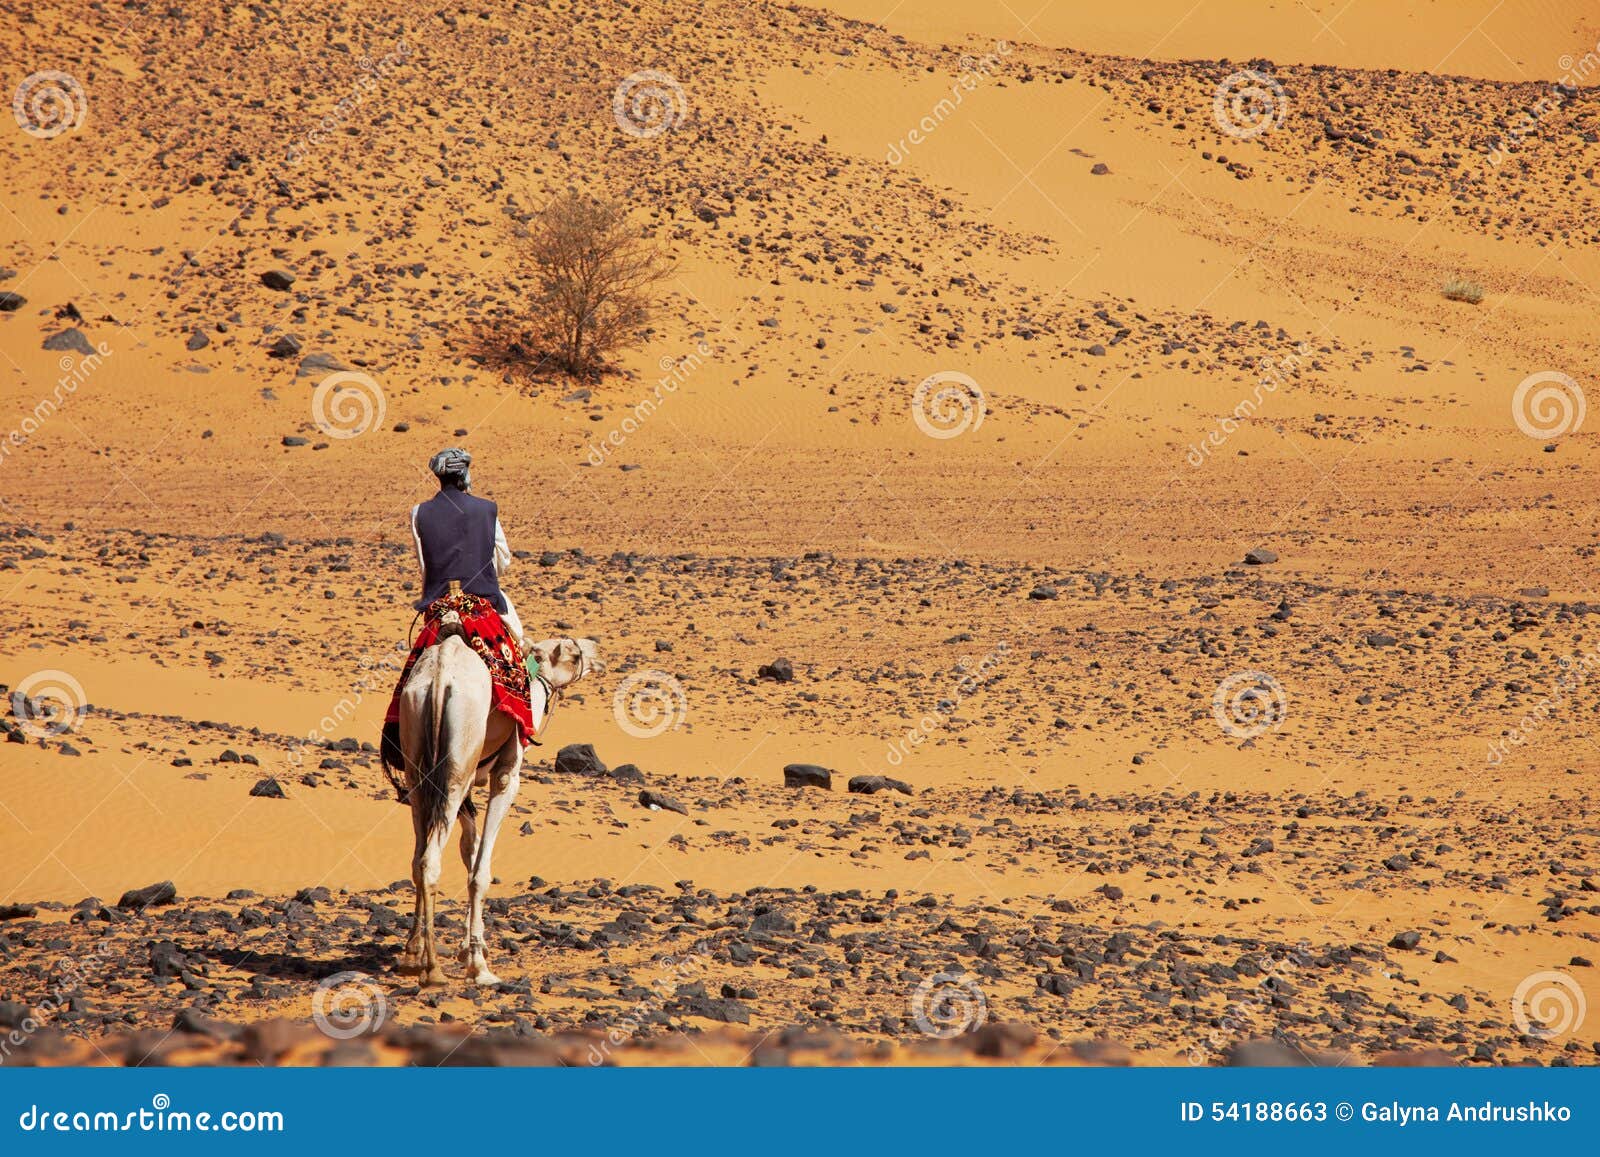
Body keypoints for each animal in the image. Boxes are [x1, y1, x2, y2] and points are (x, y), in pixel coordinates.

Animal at [396, 621, 598, 986]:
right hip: (456, 767)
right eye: (573, 654)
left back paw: (413, 954)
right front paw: (478, 962)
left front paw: (466, 947)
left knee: (419, 858)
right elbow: (480, 871)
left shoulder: (465, 789)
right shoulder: (506, 773)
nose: (595, 652)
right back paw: (433, 970)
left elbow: (469, 848)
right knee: (430, 861)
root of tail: (440, 675)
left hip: (418, 763)